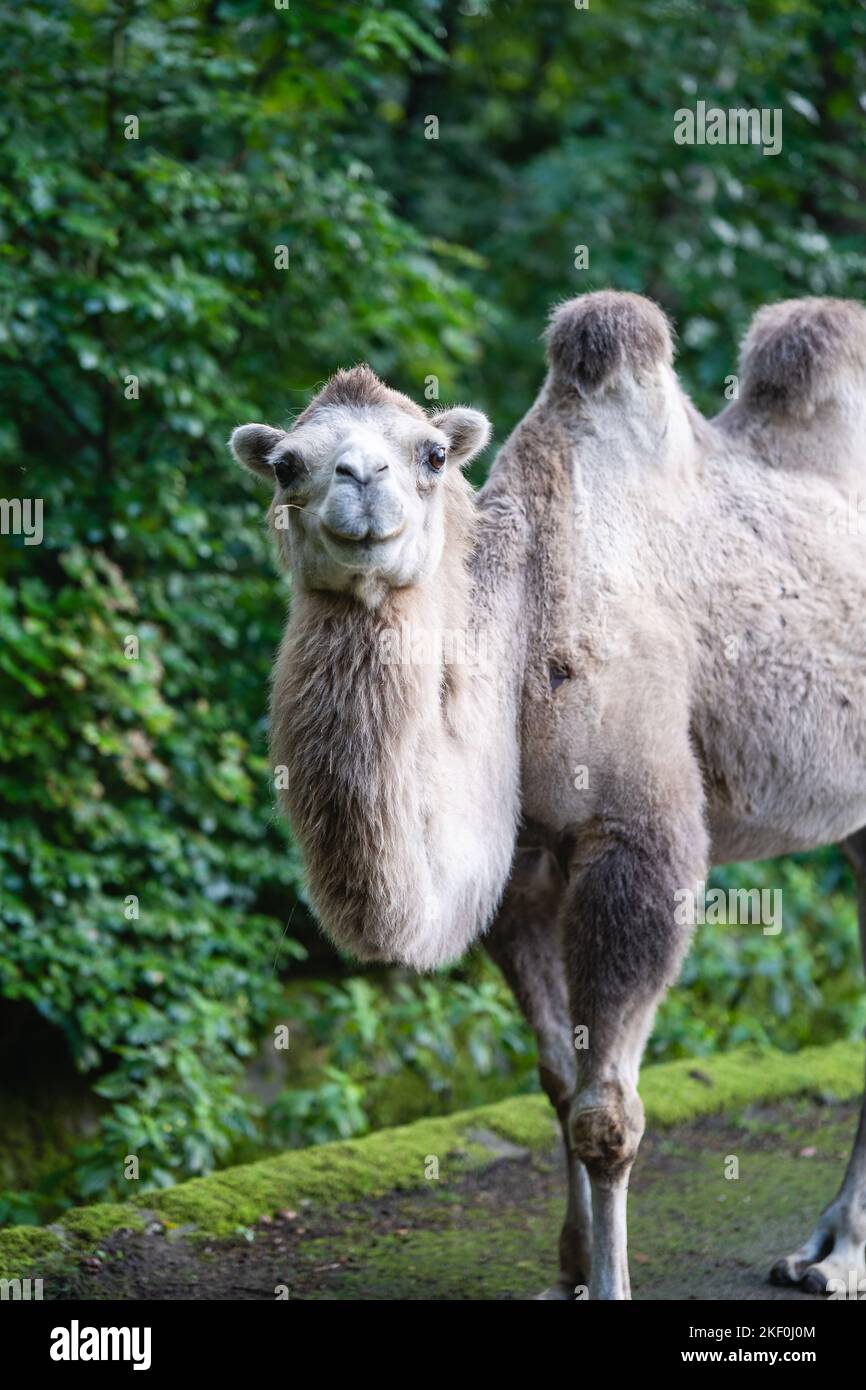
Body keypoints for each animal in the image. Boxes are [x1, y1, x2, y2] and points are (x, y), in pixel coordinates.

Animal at [230, 290, 866, 1301]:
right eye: (288, 462)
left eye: (431, 453)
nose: (359, 483)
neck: (523, 633)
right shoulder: (522, 869)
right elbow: (558, 1083)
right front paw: (567, 1269)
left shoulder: (635, 835)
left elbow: (607, 1115)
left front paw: (605, 1282)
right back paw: (830, 1244)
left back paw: (836, 1255)